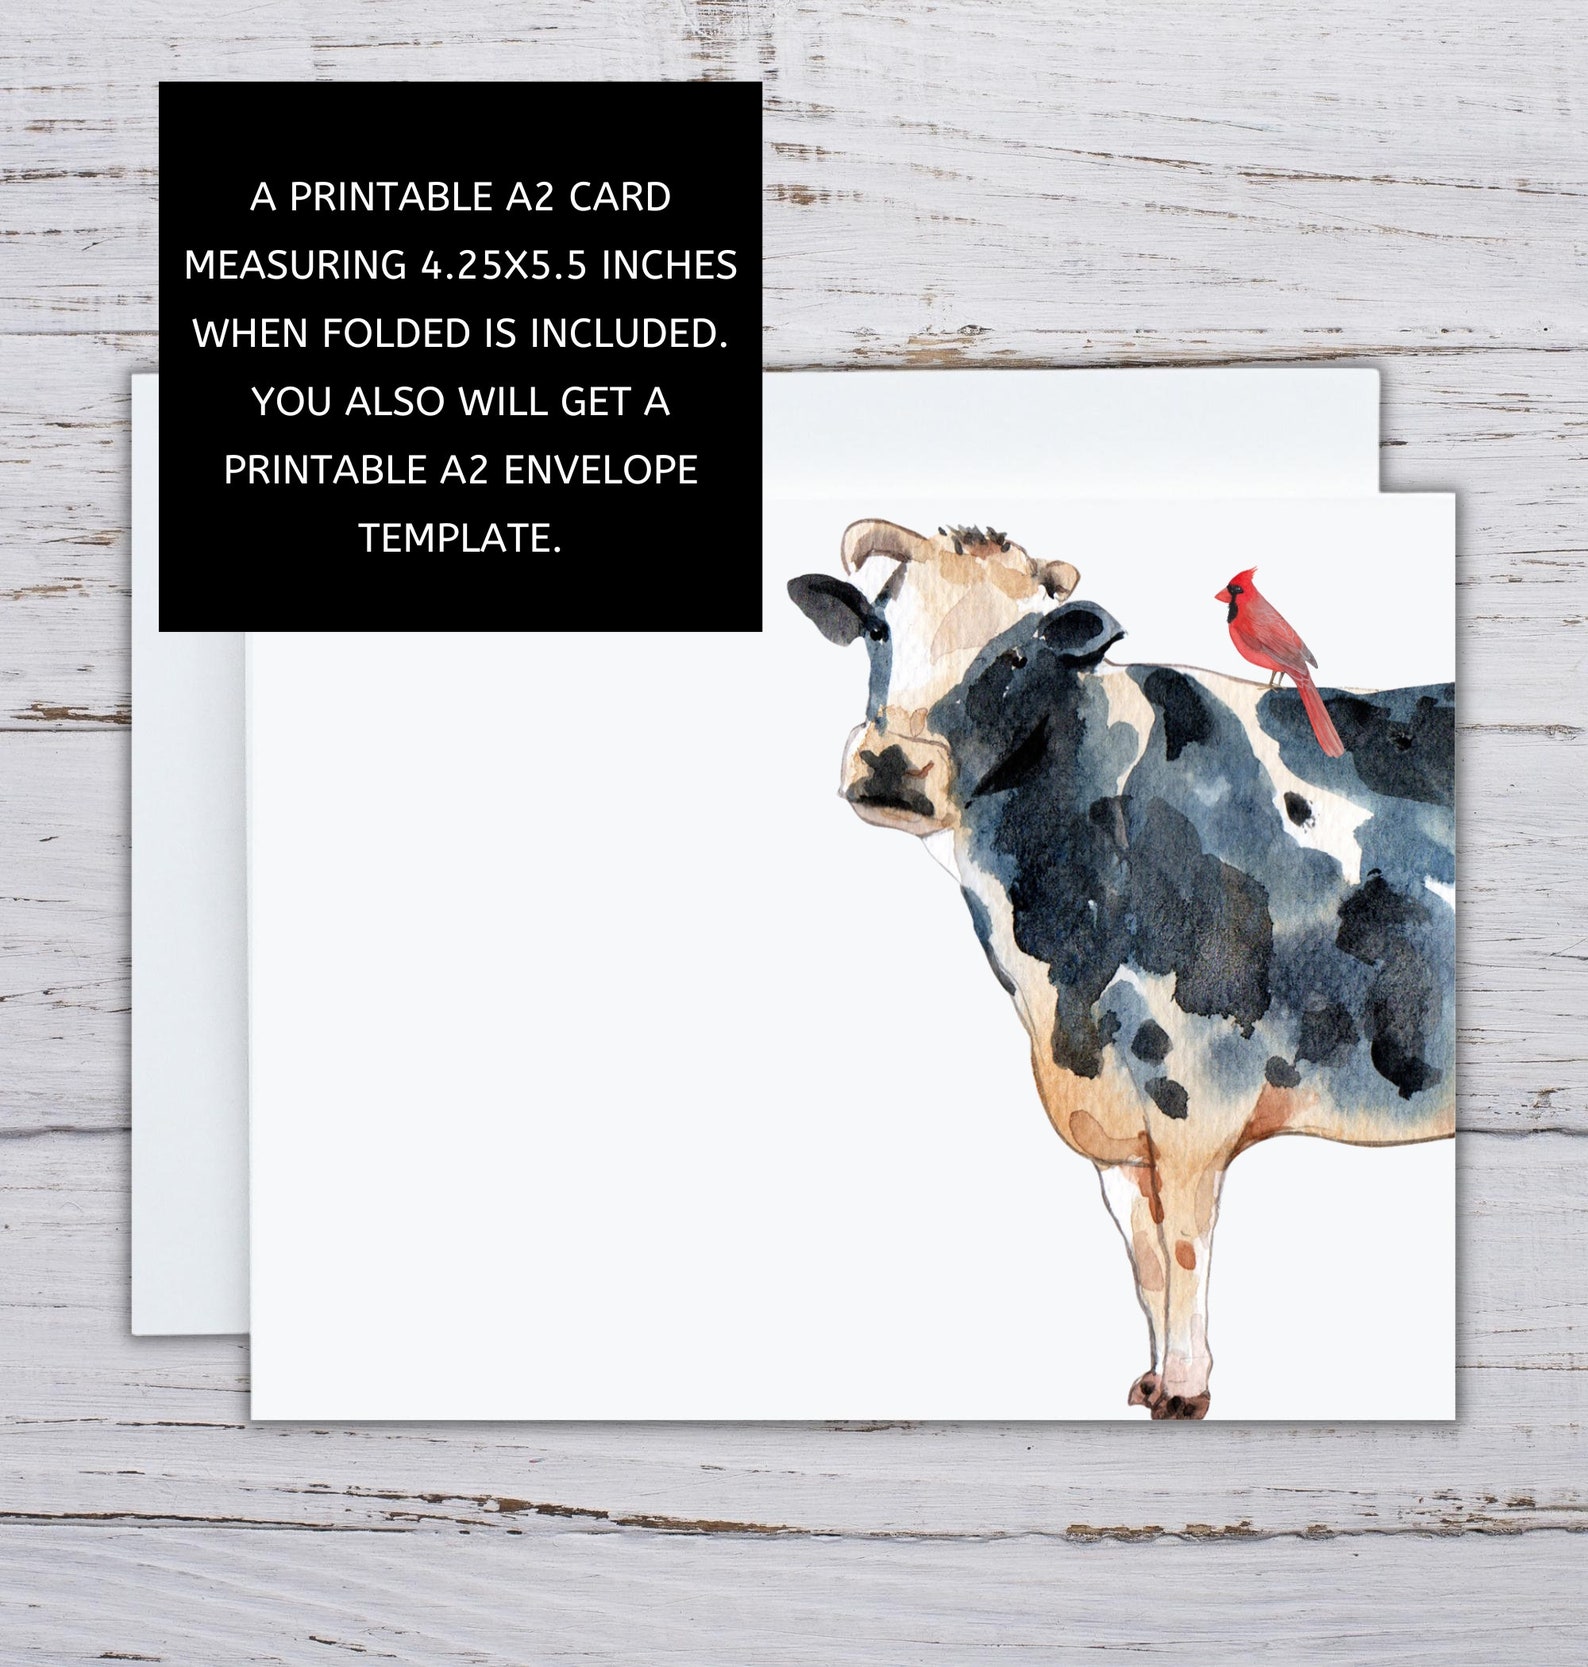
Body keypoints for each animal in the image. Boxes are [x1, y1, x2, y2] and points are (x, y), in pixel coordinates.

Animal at [789, 519, 1455, 1419]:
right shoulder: (1115, 1127)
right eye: (877, 628)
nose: (894, 765)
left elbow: (1183, 1247)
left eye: (1016, 654)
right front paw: (1152, 1379)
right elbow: (1143, 1256)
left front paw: (1186, 1389)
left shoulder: (1197, 1094)